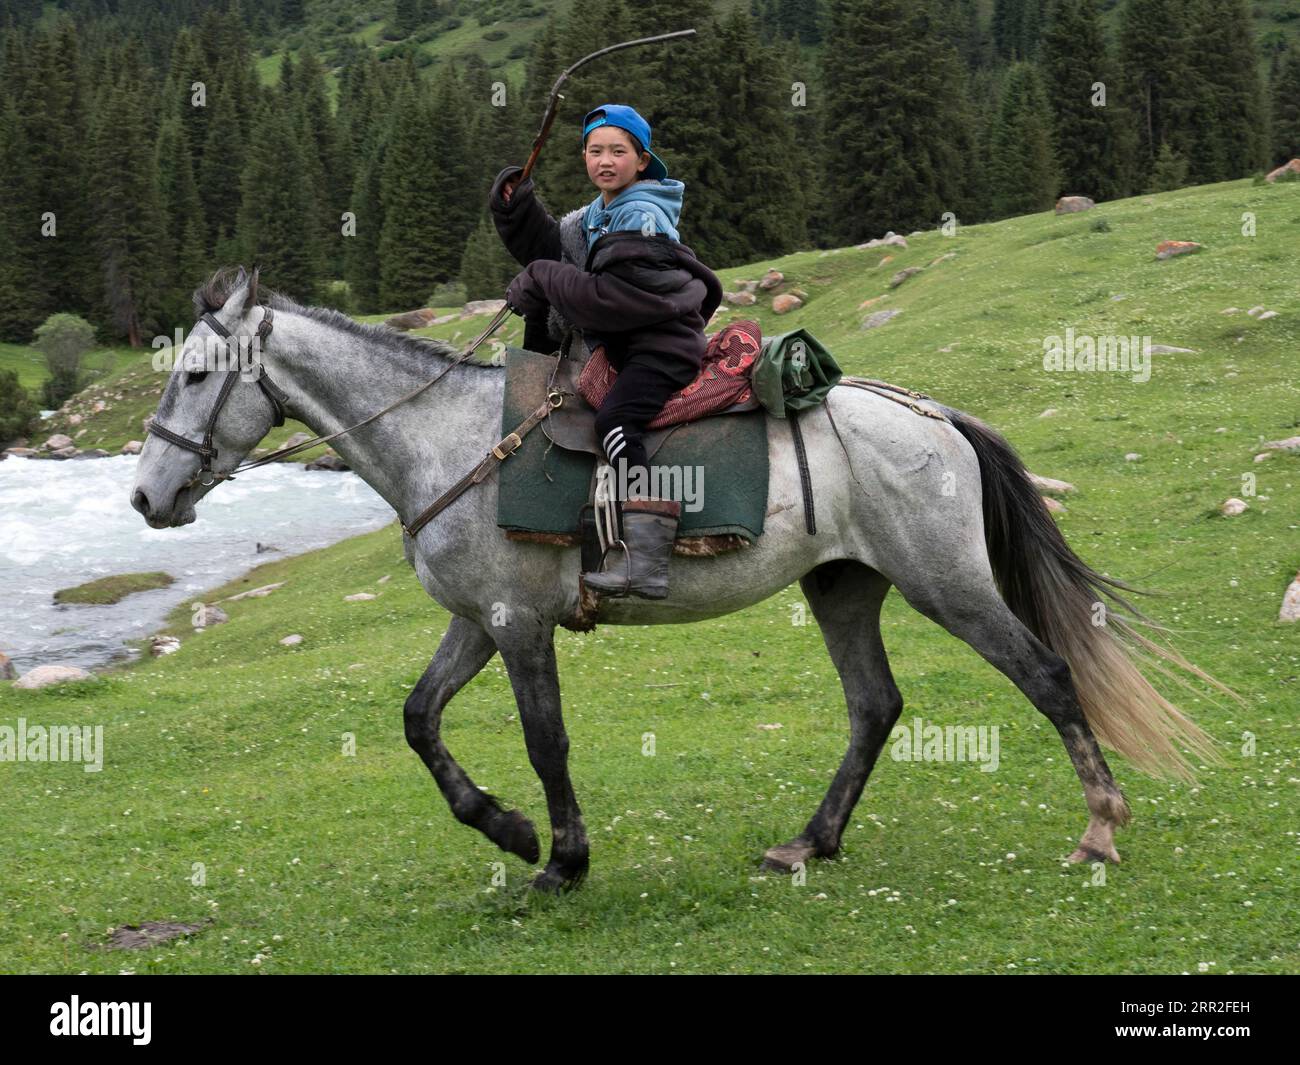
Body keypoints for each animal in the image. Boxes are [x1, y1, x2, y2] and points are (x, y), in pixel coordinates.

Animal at [129, 266, 1232, 892]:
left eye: (195, 374)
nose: (145, 498)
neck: (449, 440)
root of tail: (932, 414)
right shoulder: (479, 621)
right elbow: (417, 720)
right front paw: (510, 831)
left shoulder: (518, 623)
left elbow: (545, 740)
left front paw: (561, 863)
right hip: (842, 586)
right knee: (874, 705)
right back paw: (808, 844)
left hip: (947, 585)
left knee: (1045, 675)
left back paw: (1099, 830)